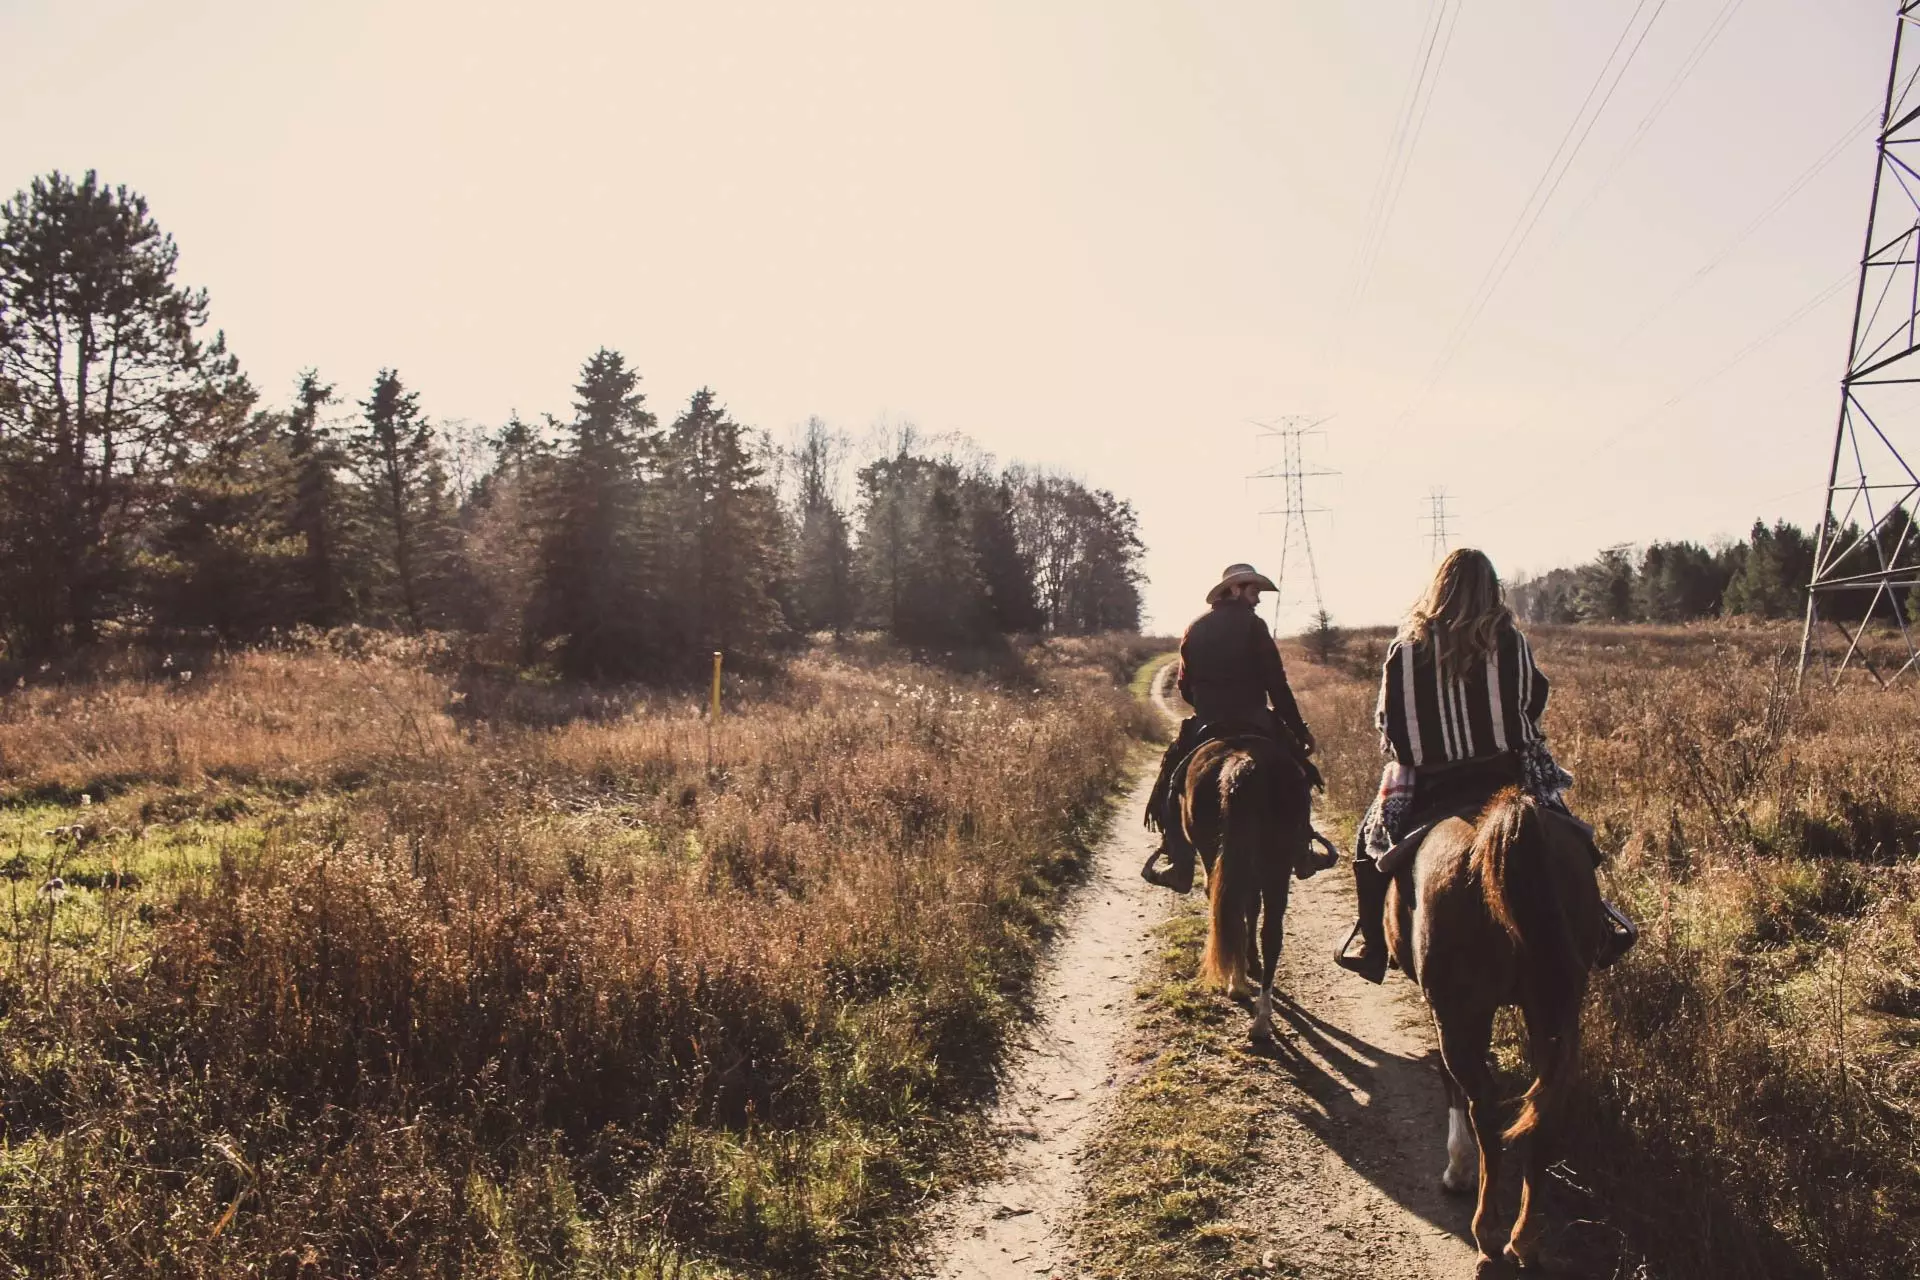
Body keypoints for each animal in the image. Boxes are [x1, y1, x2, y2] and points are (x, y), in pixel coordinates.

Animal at [1182, 736, 1320, 1043]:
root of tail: (1244, 761)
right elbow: (1251, 909)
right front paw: (1249, 964)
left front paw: (1245, 968)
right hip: (1276, 864)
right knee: (1271, 933)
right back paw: (1261, 1019)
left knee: (1235, 914)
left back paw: (1242, 991)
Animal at [1390, 786, 1612, 1274]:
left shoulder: (1445, 1009)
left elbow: (1449, 1081)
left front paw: (1457, 1169)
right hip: (1552, 1009)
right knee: (1545, 1108)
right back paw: (1525, 1240)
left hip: (1460, 1012)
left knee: (1485, 1108)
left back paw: (1488, 1235)